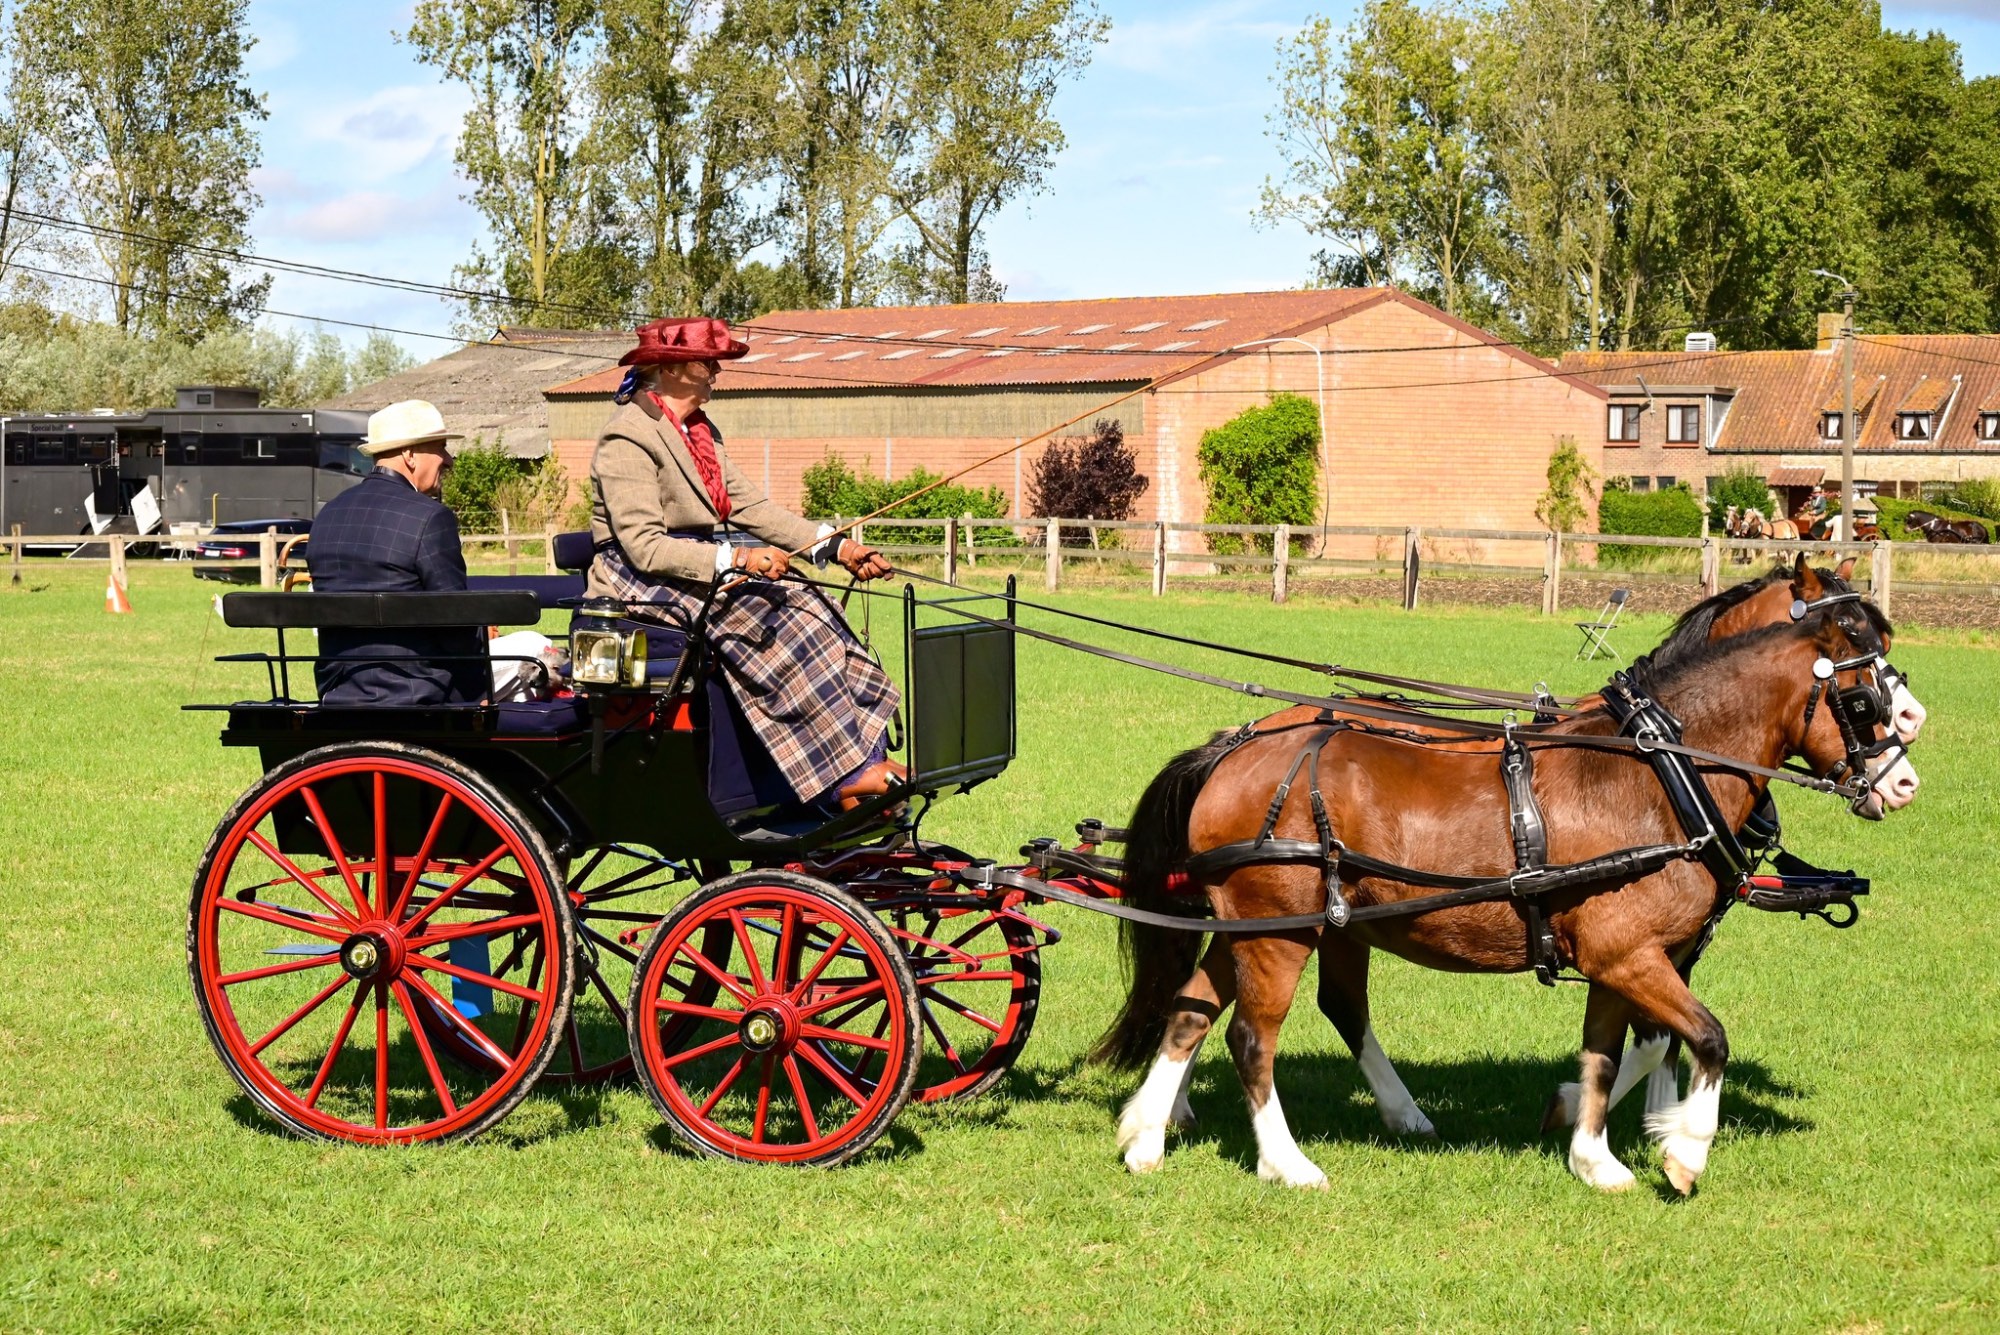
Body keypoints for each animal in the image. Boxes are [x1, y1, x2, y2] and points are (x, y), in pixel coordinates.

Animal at [1097, 588, 1920, 1194]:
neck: (1661, 773)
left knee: (1193, 1009)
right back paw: (1287, 1163)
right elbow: (1704, 1037)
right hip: (1280, 929)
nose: (1905, 779)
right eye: (1863, 697)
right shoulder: (1630, 955)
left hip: (1263, 926)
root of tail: (1231, 748)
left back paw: (1146, 1136)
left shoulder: (1619, 959)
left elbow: (1606, 1053)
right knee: (1251, 1036)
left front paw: (1595, 1156)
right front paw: (1683, 1150)